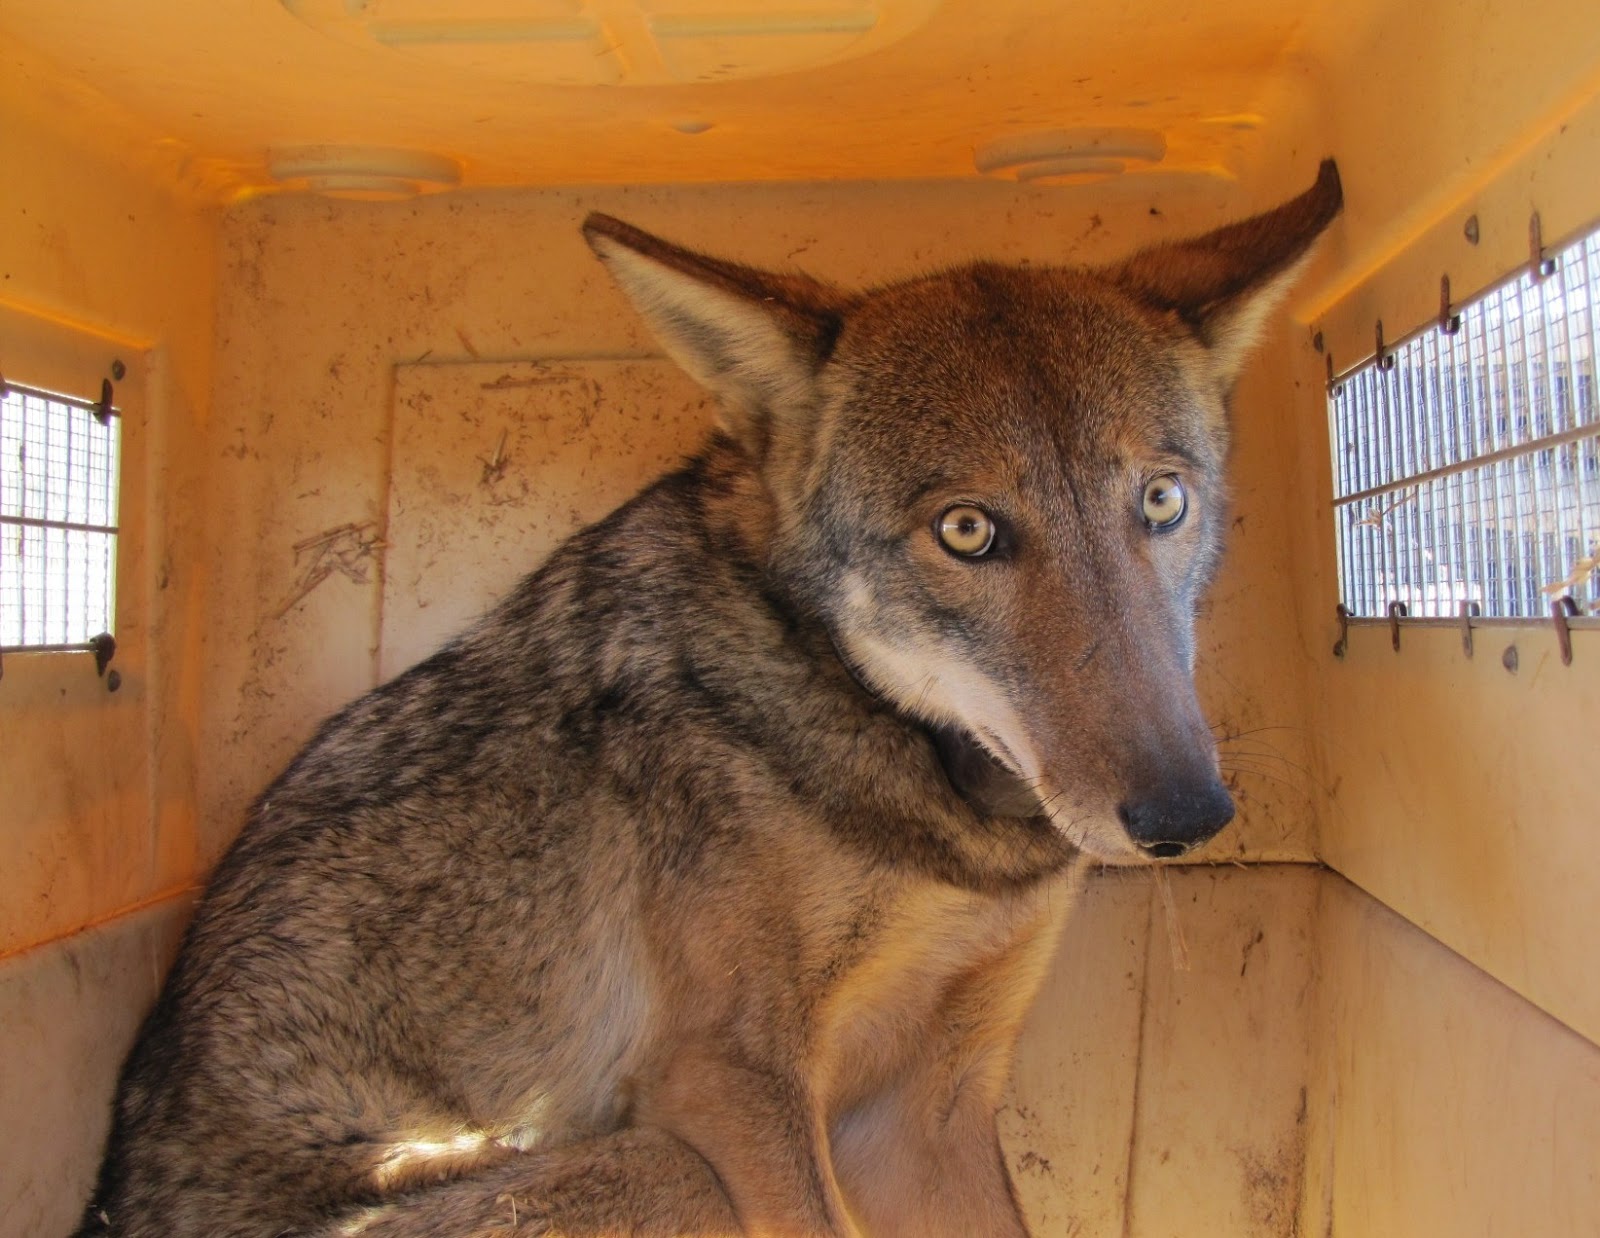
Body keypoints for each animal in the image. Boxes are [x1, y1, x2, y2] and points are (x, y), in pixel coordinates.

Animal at [75, 161, 1341, 1238]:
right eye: (967, 530)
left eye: (1162, 500)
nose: (1185, 813)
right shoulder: (731, 1086)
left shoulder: (926, 1107)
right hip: (664, 1167)